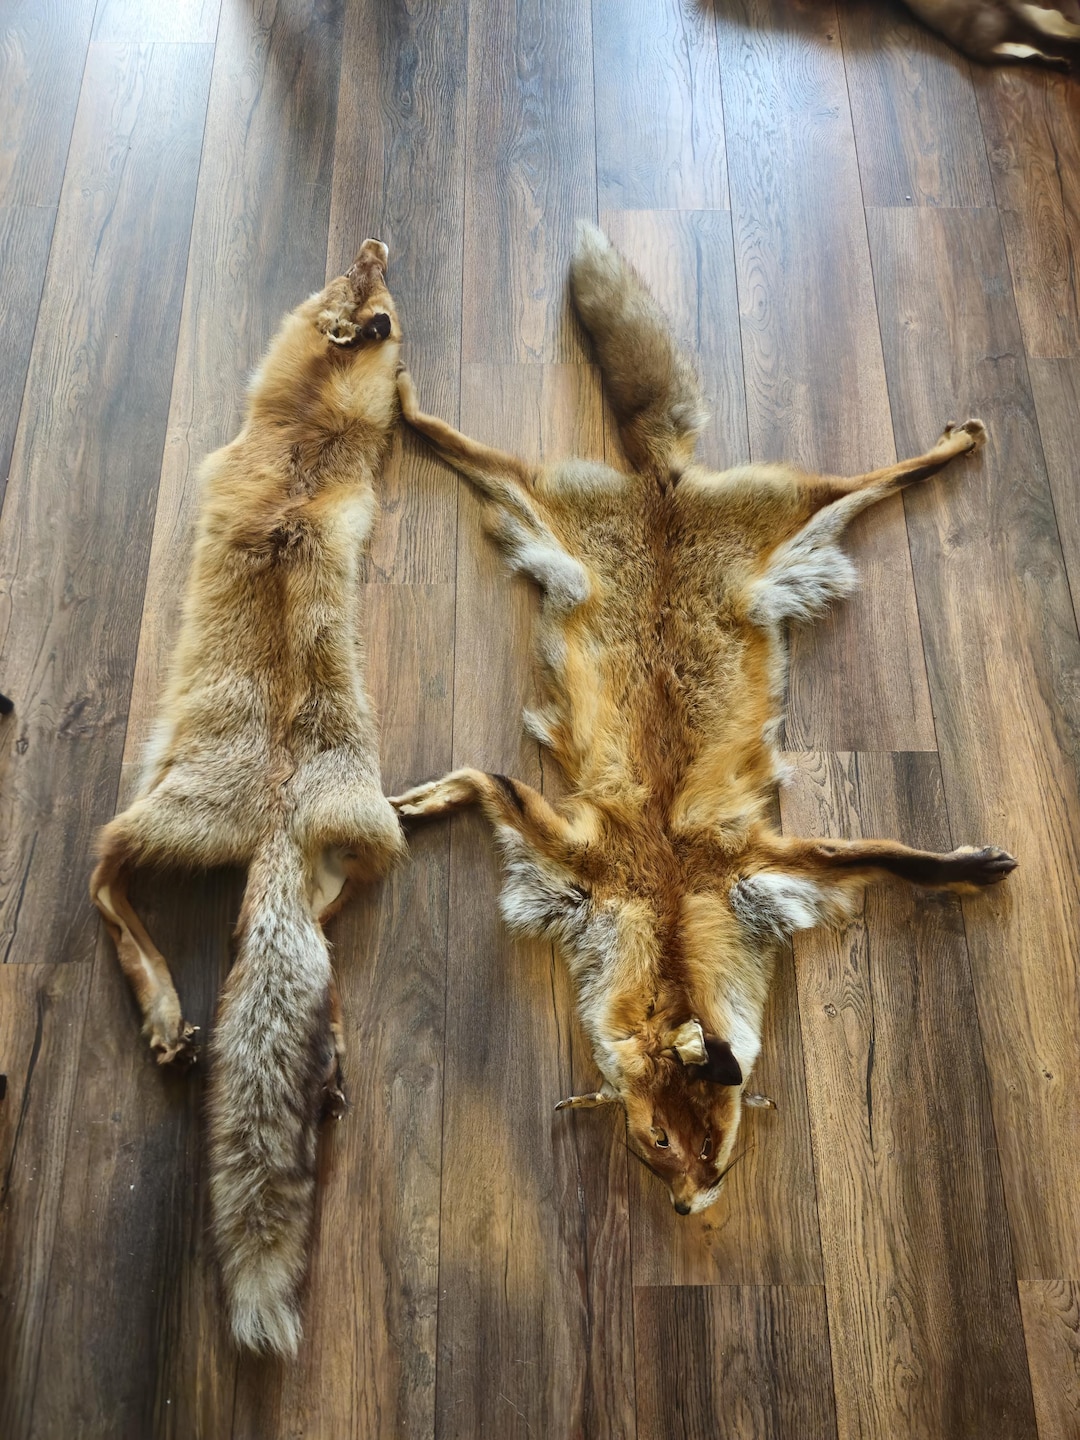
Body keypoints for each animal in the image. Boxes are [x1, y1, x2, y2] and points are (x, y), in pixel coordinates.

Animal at [89, 239, 405, 1357]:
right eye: (370, 293)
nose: (374, 243)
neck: (308, 438)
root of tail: (277, 808)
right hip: (367, 846)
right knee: (313, 945)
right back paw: (332, 1054)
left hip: (161, 818)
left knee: (100, 874)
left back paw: (162, 1006)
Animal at [391, 223, 1018, 1218]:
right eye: (657, 1150)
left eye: (703, 1152)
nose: (691, 1210)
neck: (666, 896)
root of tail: (663, 483)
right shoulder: (582, 849)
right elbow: (475, 775)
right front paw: (413, 804)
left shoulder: (759, 855)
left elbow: (894, 856)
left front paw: (965, 867)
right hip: (537, 507)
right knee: (463, 446)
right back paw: (405, 406)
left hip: (788, 512)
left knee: (874, 476)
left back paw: (950, 445)